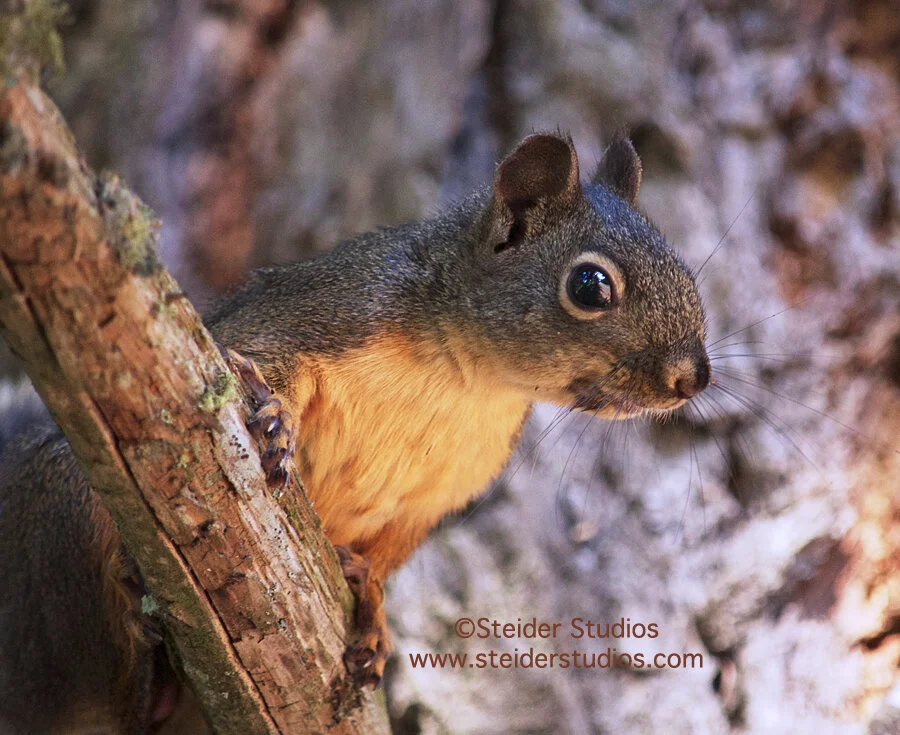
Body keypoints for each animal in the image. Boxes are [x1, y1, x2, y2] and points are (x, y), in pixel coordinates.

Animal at [0, 132, 709, 732]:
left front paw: (372, 608)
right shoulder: (330, 309)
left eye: (684, 270)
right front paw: (276, 423)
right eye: (590, 285)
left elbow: (387, 555)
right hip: (67, 504)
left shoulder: (433, 497)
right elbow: (252, 357)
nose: (693, 377)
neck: (471, 382)